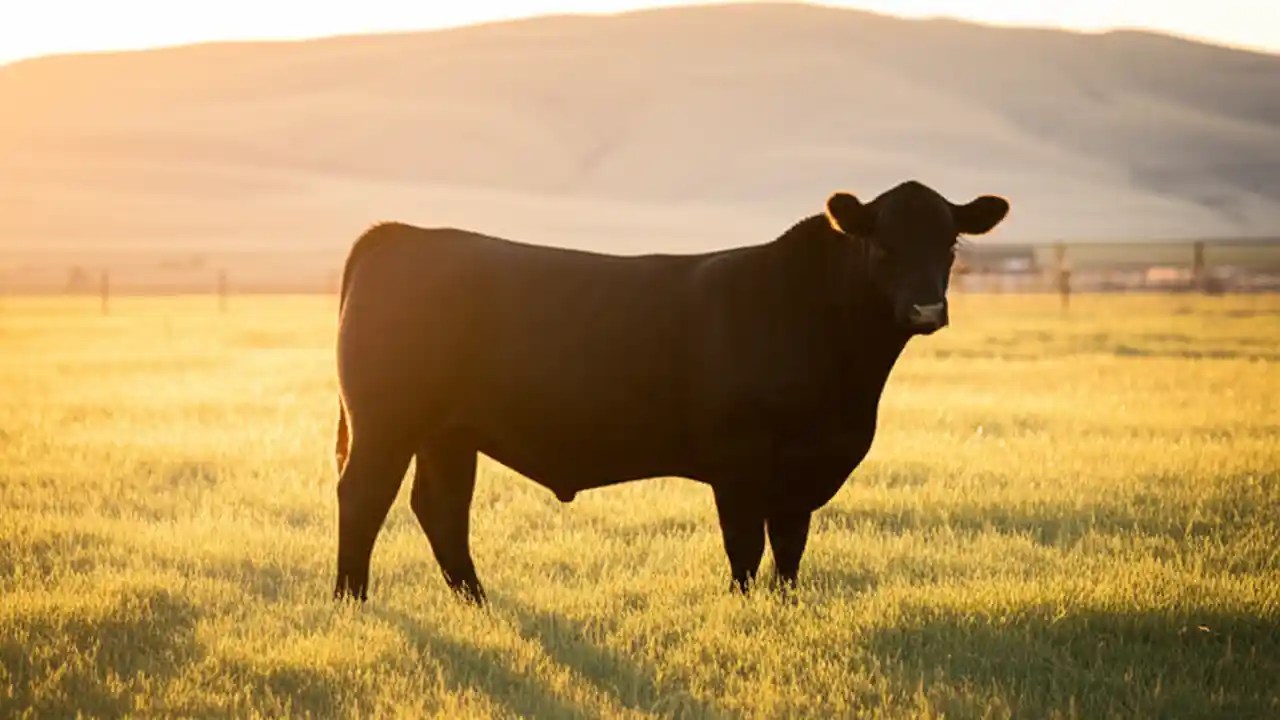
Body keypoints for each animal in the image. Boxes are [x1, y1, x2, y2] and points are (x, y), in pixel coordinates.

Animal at [332, 180, 1009, 603]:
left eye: (950, 243)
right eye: (882, 243)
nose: (927, 308)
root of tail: (401, 233)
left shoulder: (804, 472)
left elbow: (789, 551)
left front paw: (785, 609)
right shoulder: (738, 465)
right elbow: (745, 550)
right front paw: (743, 610)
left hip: (449, 434)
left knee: (441, 509)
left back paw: (477, 602)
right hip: (386, 423)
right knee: (363, 498)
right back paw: (352, 602)